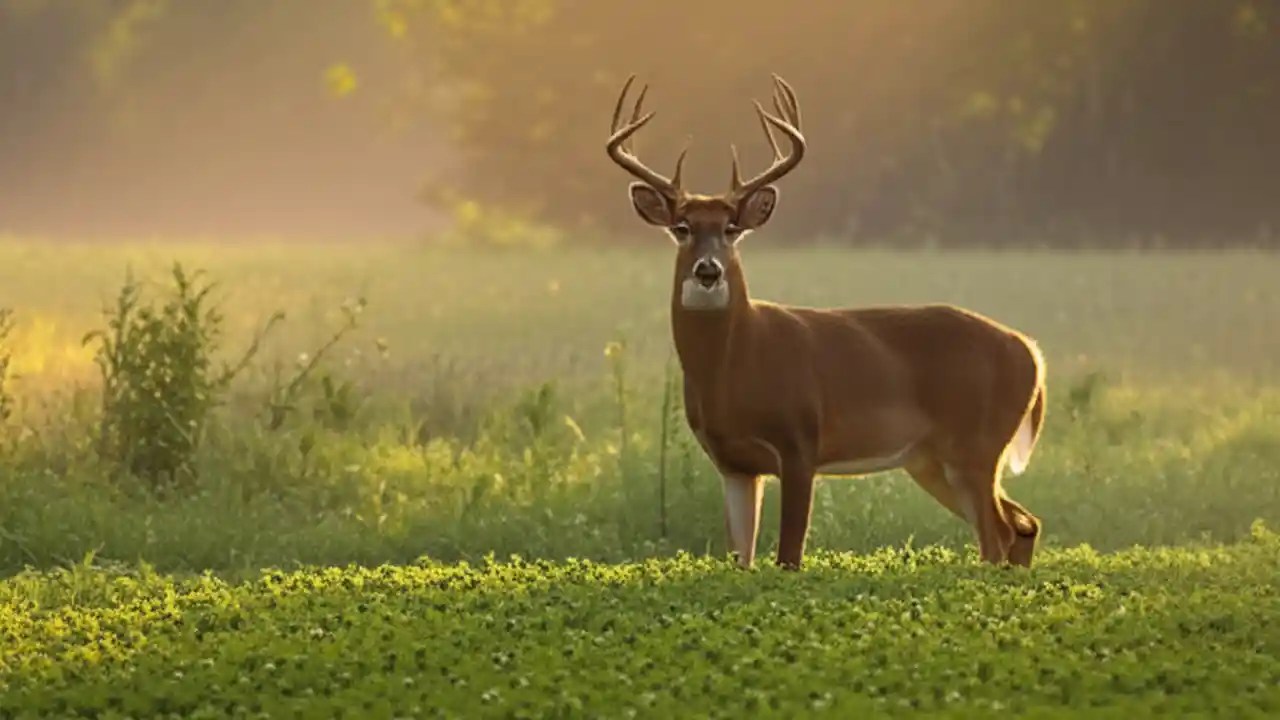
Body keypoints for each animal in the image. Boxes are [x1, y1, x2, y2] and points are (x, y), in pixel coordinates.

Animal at [604, 74, 1049, 570]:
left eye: (731, 229)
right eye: (681, 227)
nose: (708, 271)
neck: (736, 366)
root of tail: (1031, 351)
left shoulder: (801, 440)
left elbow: (789, 556)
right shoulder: (733, 463)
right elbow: (742, 558)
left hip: (977, 444)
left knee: (998, 535)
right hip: (929, 460)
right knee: (1023, 525)